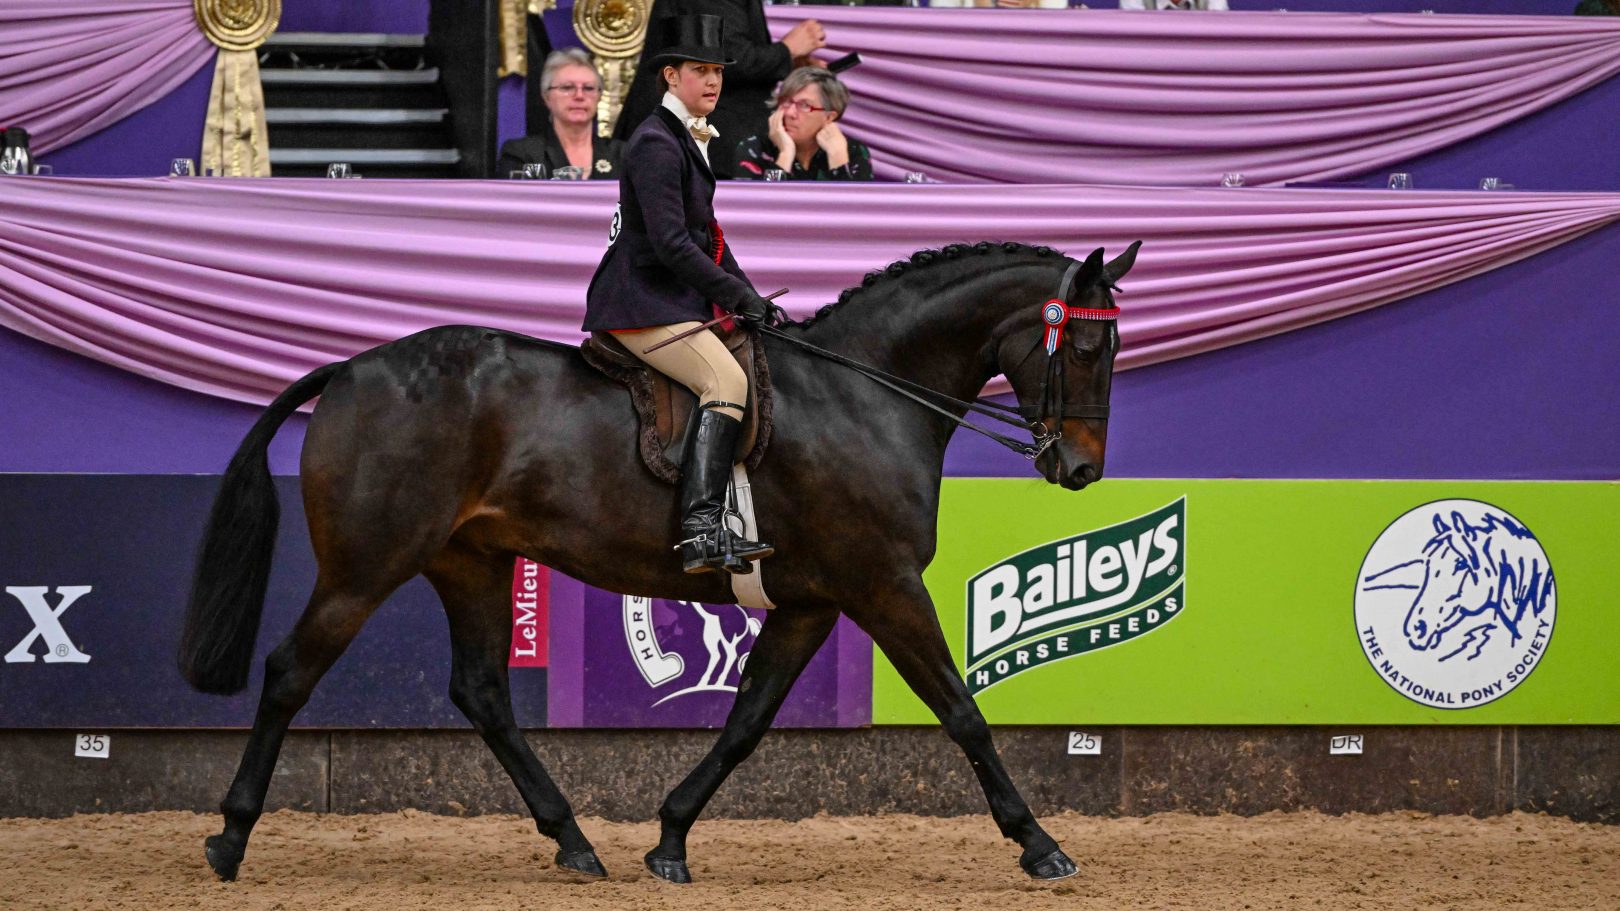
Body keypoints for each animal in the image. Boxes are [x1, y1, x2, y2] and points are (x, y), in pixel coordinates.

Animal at [176, 239, 1140, 885]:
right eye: (1090, 347)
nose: (1081, 469)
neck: (863, 391)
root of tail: (348, 369)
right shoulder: (886, 586)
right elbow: (962, 711)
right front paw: (1040, 843)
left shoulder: (812, 602)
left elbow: (746, 721)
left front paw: (670, 837)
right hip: (367, 566)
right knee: (290, 669)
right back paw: (229, 837)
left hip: (471, 560)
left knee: (481, 691)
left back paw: (573, 841)